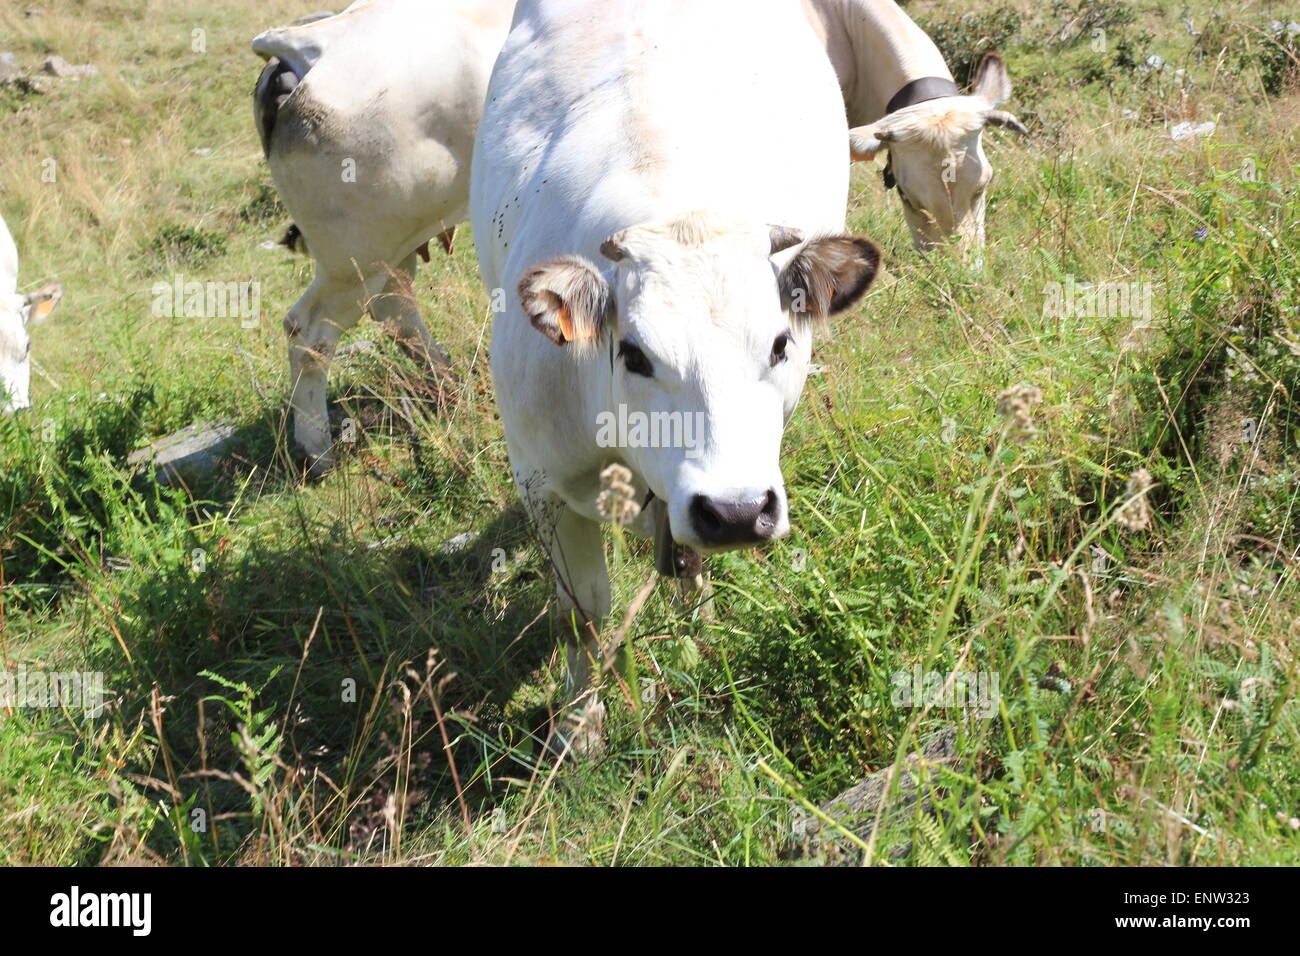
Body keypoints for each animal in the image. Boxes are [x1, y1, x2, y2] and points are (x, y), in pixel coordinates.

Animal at [252, 0, 515, 476]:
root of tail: (306, 46)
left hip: (386, 250)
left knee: (395, 311)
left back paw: (451, 387)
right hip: (356, 259)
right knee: (310, 334)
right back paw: (318, 452)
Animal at [472, 0, 883, 754]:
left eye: (780, 343)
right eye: (634, 354)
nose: (739, 512)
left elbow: (690, 563)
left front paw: (706, 641)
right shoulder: (541, 484)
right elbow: (582, 612)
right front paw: (579, 730)